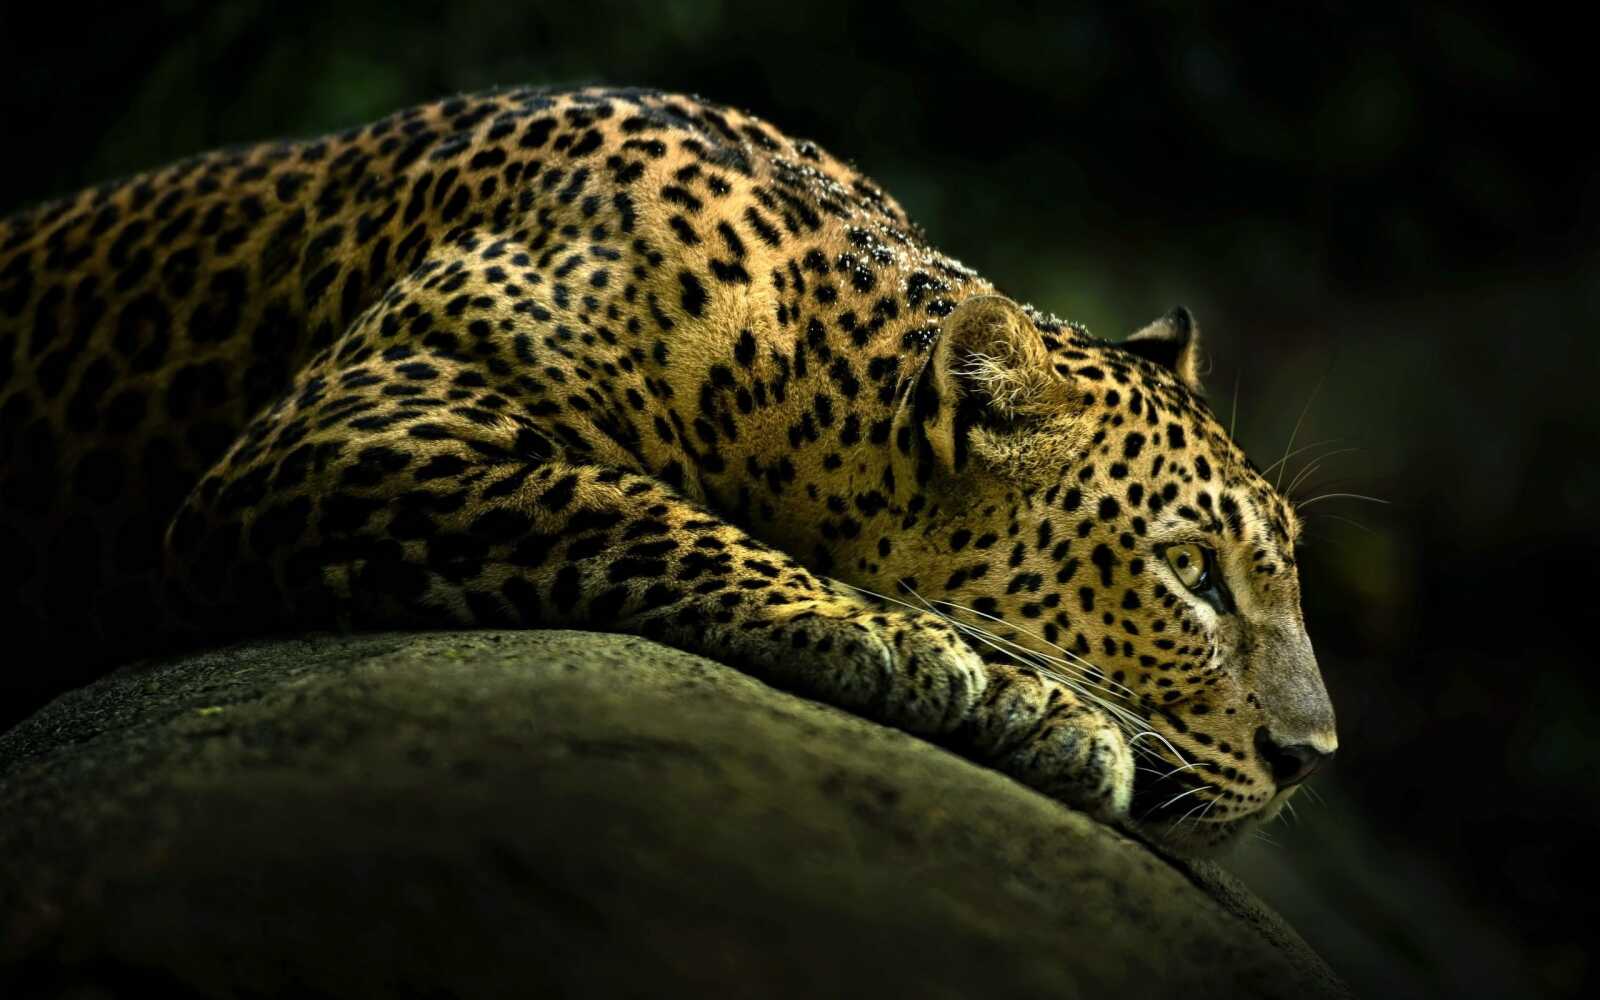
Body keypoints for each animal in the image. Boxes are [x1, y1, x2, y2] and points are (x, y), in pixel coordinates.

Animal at [0, 85, 1337, 854]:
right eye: (1190, 574)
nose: (1310, 760)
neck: (790, 364)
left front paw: (1033, 705)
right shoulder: (360, 425)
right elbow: (623, 502)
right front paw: (919, 649)